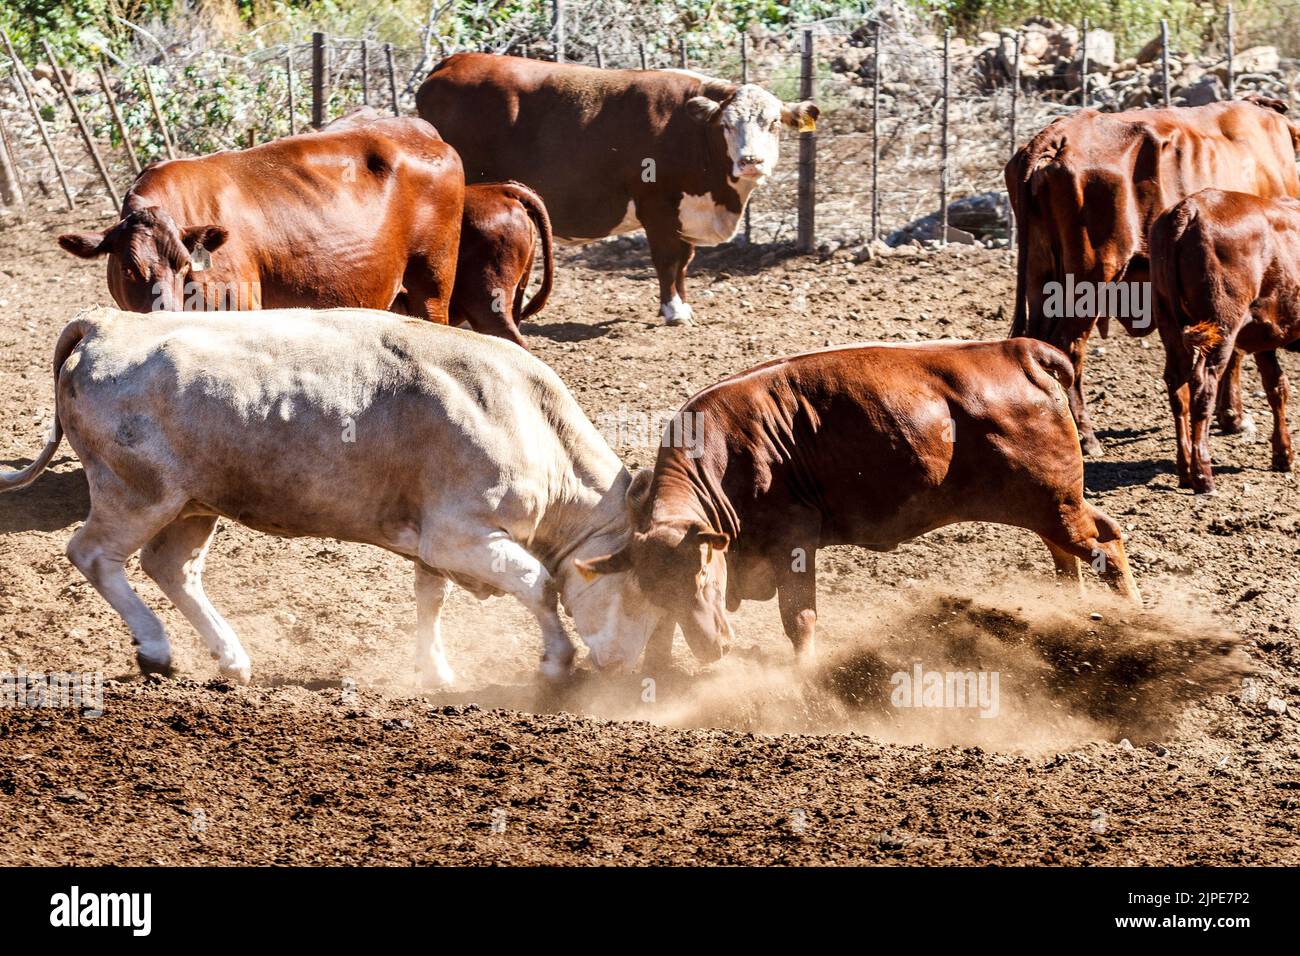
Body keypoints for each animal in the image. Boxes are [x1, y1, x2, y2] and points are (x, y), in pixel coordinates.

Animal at [0, 307, 663, 685]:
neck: (526, 416)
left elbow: (431, 599)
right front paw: (555, 663)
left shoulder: (437, 541)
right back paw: (157, 648)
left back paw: (231, 657)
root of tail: (110, 323)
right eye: (638, 588)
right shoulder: (463, 534)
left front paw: (437, 673)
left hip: (194, 503)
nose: (623, 667)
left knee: (171, 567)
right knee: (92, 554)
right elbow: (539, 584)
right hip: (136, 493)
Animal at [416, 52, 819, 326]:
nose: (751, 160)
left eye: (773, 123)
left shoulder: (684, 213)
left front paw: (683, 305)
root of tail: (453, 62)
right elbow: (668, 261)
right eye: (728, 124)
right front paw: (672, 310)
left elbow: (684, 262)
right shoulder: (657, 207)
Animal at [574, 339, 1140, 666]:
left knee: (1106, 540)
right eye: (654, 589)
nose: (714, 648)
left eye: (702, 579)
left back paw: (1131, 616)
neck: (726, 454)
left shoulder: (794, 542)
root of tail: (1019, 351)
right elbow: (661, 629)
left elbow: (798, 618)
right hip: (1046, 506)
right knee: (1069, 555)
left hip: (1056, 503)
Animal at [1007, 97, 1300, 456]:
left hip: (1040, 274)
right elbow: (1237, 352)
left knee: (1036, 342)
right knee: (1068, 347)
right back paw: (1086, 437)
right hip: (1091, 279)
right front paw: (1234, 417)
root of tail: (1058, 135)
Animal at [1150, 189, 1300, 494]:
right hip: (1222, 327)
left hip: (1168, 322)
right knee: (1203, 388)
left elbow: (1276, 387)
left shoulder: (1265, 337)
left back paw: (1185, 470)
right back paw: (1203, 475)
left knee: (1178, 389)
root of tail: (1190, 208)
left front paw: (1283, 455)